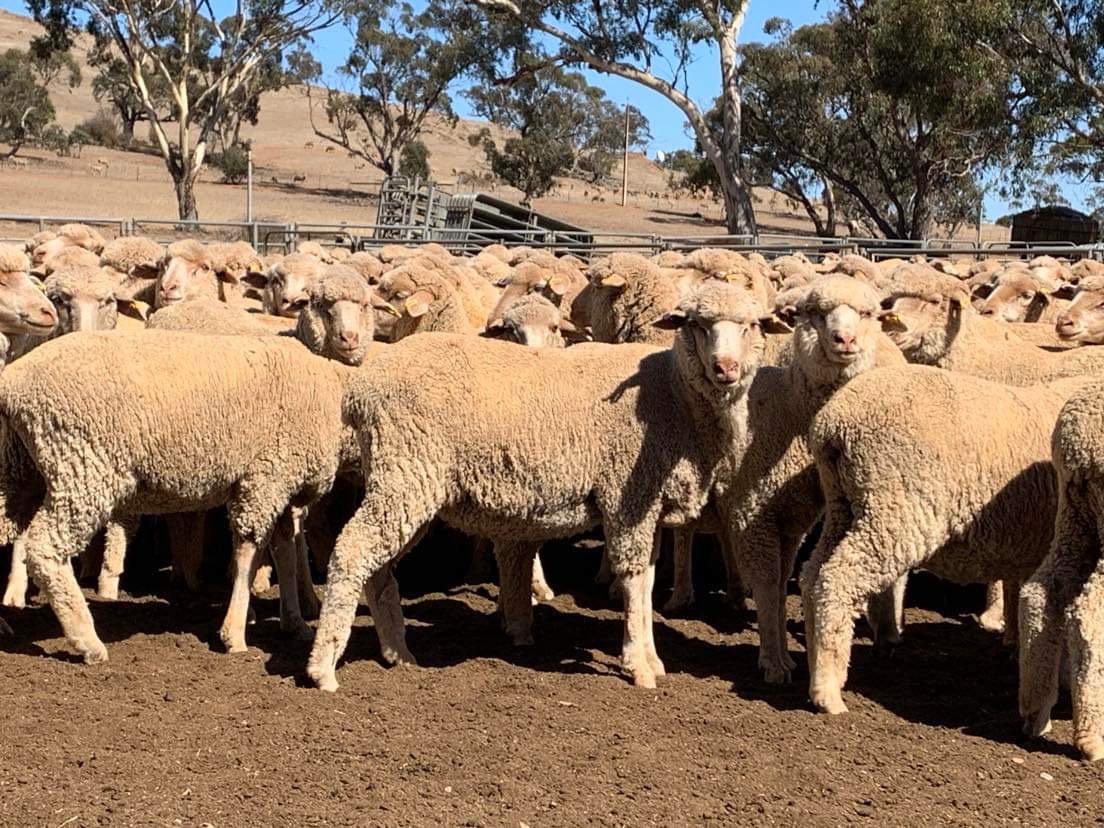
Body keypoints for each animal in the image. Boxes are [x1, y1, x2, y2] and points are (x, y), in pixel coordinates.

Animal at [0, 329, 360, 662]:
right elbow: (250, 553)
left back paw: (6, 626)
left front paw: (294, 622)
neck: (334, 397)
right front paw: (234, 633)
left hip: (19, 469)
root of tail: (12, 384)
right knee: (45, 549)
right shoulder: (265, 479)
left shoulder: (282, 487)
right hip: (82, 466)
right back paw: (87, 640)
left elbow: (284, 553)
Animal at [306, 282, 782, 692]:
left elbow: (646, 580)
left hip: (408, 483)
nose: (725, 368)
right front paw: (639, 665)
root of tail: (361, 391)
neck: (673, 393)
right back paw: (323, 667)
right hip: (406, 474)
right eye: (695, 324)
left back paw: (397, 652)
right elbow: (634, 581)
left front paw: (652, 658)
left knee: (377, 566)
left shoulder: (645, 506)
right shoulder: (627, 498)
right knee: (352, 550)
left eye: (751, 325)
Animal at [800, 366, 1091, 714]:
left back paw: (814, 666)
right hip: (893, 510)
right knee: (836, 579)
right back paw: (827, 690)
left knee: (812, 575)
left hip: (842, 504)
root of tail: (833, 423)